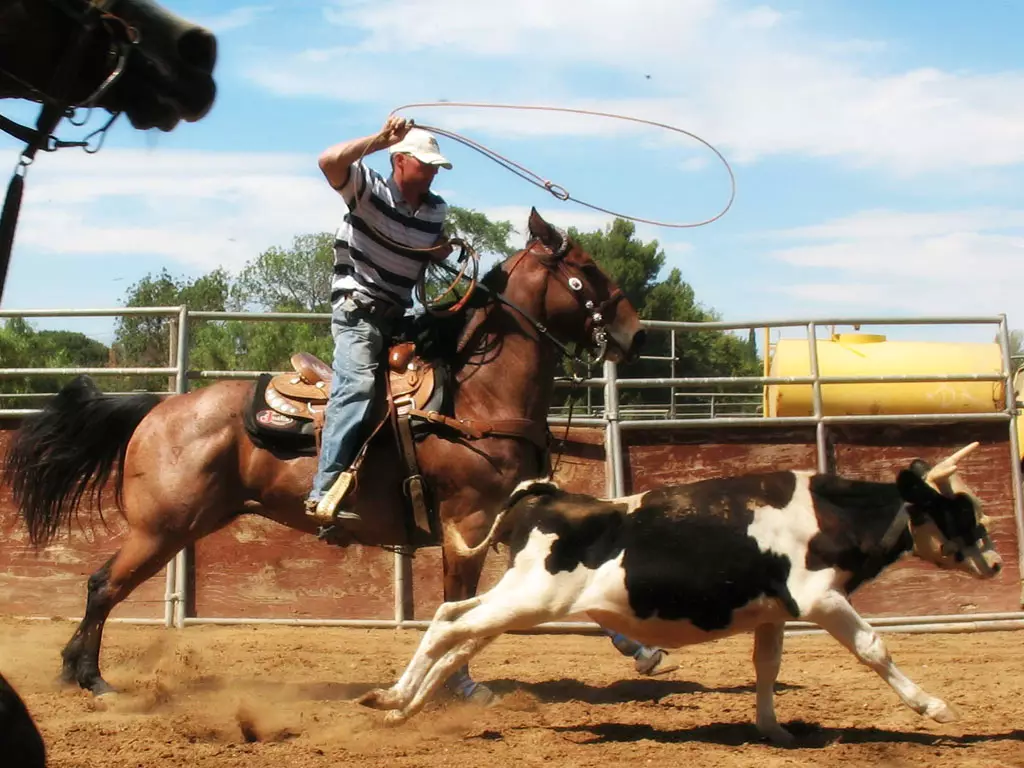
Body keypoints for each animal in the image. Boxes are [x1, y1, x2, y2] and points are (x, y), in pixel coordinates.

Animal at [4, 207, 651, 700]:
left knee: (100, 585)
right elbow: (457, 603)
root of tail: (161, 408)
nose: (637, 333)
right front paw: (461, 686)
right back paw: (91, 677)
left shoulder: (505, 515)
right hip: (161, 528)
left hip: (180, 525)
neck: (476, 395)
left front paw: (639, 649)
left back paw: (75, 669)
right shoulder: (467, 521)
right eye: (586, 269)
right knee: (102, 586)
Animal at [360, 444, 999, 745]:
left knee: (457, 630)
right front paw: (935, 707)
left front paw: (774, 730)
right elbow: (874, 648)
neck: (829, 514)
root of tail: (544, 496)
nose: (994, 562)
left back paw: (401, 707)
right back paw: (390, 696)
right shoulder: (819, 600)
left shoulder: (773, 614)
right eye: (960, 512)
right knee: (449, 624)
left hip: (519, 602)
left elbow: (766, 666)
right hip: (529, 598)